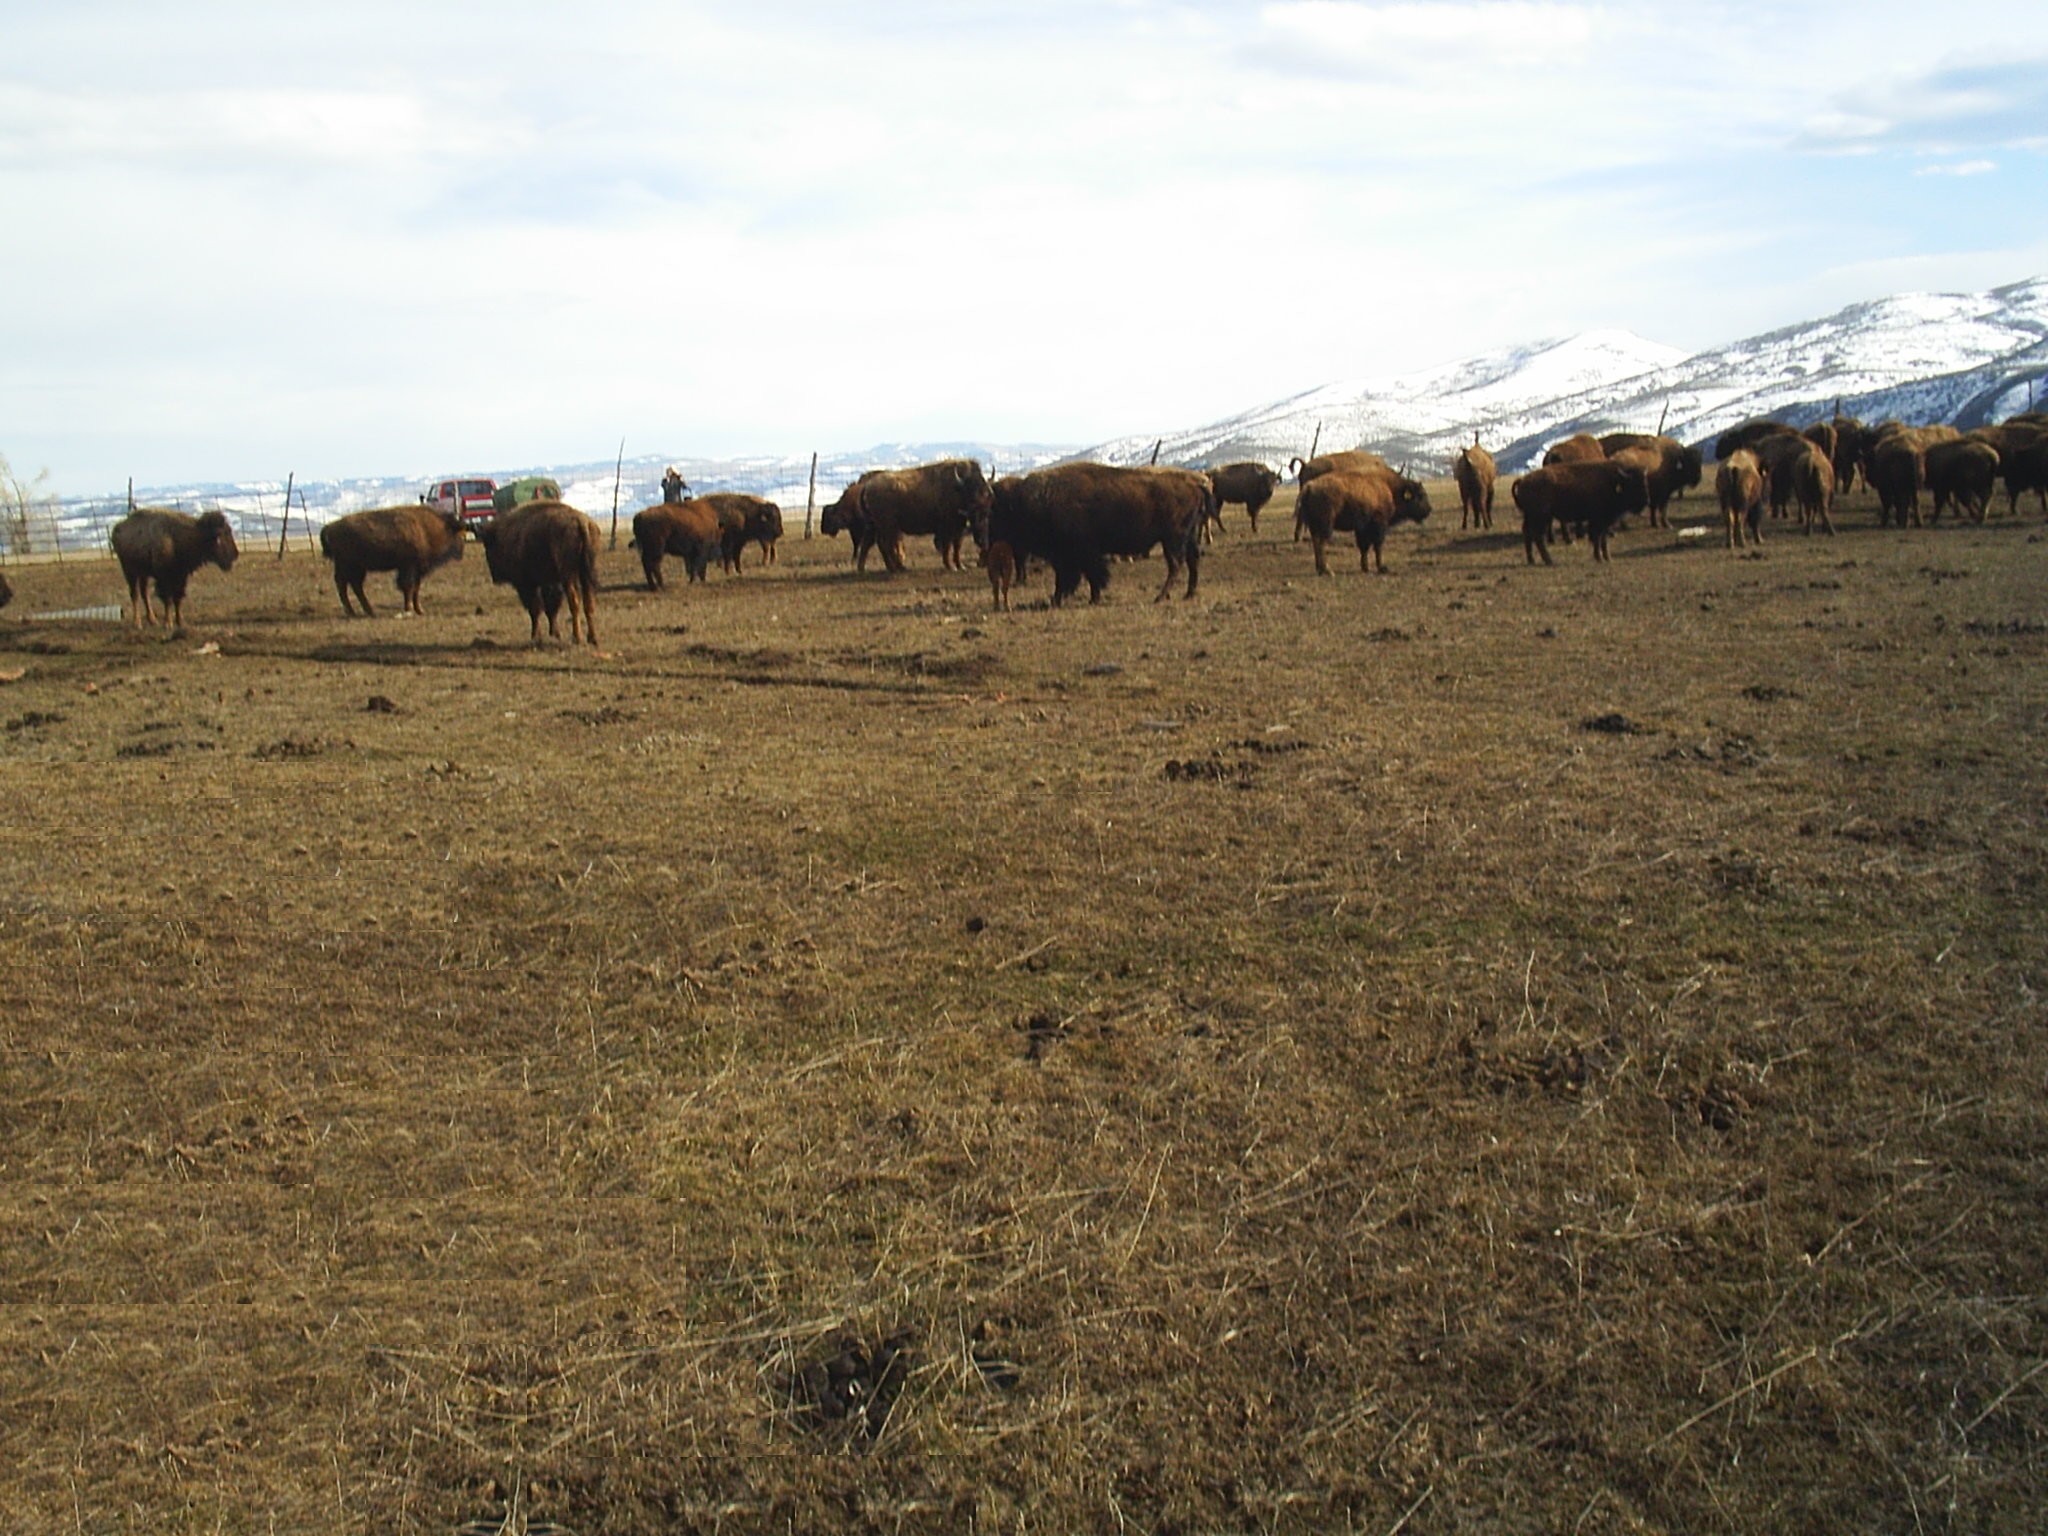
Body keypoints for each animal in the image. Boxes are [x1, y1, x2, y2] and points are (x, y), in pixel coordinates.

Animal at [110, 508, 240, 627]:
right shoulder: (164, 578)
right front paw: (168, 623)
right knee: (135, 594)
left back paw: (152, 620)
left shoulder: (181, 577)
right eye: (223, 534)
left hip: (143, 574)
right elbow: (168, 600)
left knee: (144, 593)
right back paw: (137, 623)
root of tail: (118, 527)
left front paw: (180, 622)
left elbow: (178, 599)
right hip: (129, 571)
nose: (235, 554)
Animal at [318, 504, 464, 617]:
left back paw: (368, 611)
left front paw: (419, 610)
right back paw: (352, 612)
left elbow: (415, 589)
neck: (426, 528)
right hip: (347, 566)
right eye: (459, 534)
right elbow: (408, 587)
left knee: (354, 586)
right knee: (343, 585)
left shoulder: (416, 570)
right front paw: (408, 610)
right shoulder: (409, 567)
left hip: (357, 568)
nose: (461, 553)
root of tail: (330, 527)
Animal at [475, 499, 600, 645]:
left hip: (568, 575)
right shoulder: (548, 583)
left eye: (487, 545)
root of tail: (581, 522)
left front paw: (536, 636)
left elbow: (535, 609)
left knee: (574, 601)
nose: (495, 577)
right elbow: (550, 608)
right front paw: (554, 634)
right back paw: (592, 638)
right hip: (586, 573)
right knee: (588, 602)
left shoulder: (528, 585)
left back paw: (577, 638)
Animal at [987, 463, 1210, 604]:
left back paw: (1160, 597)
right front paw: (1060, 598)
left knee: (1176, 565)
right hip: (1187, 537)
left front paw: (1085, 598)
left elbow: (1086, 575)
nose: (988, 537)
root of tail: (1195, 484)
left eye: (997, 511)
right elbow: (1072, 576)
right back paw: (1188, 594)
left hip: (1172, 539)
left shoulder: (1078, 553)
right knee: (1192, 561)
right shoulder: (1067, 556)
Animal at [1511, 461, 1648, 564]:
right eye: (1633, 484)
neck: (1614, 482)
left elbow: (1603, 539)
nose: (1646, 501)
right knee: (1538, 537)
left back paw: (1532, 560)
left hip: (1531, 516)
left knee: (1528, 534)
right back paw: (1549, 561)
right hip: (1541, 517)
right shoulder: (1598, 521)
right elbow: (1597, 538)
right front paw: (1600, 558)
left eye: (1644, 482)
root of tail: (1523, 480)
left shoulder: (1604, 522)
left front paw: (1607, 558)